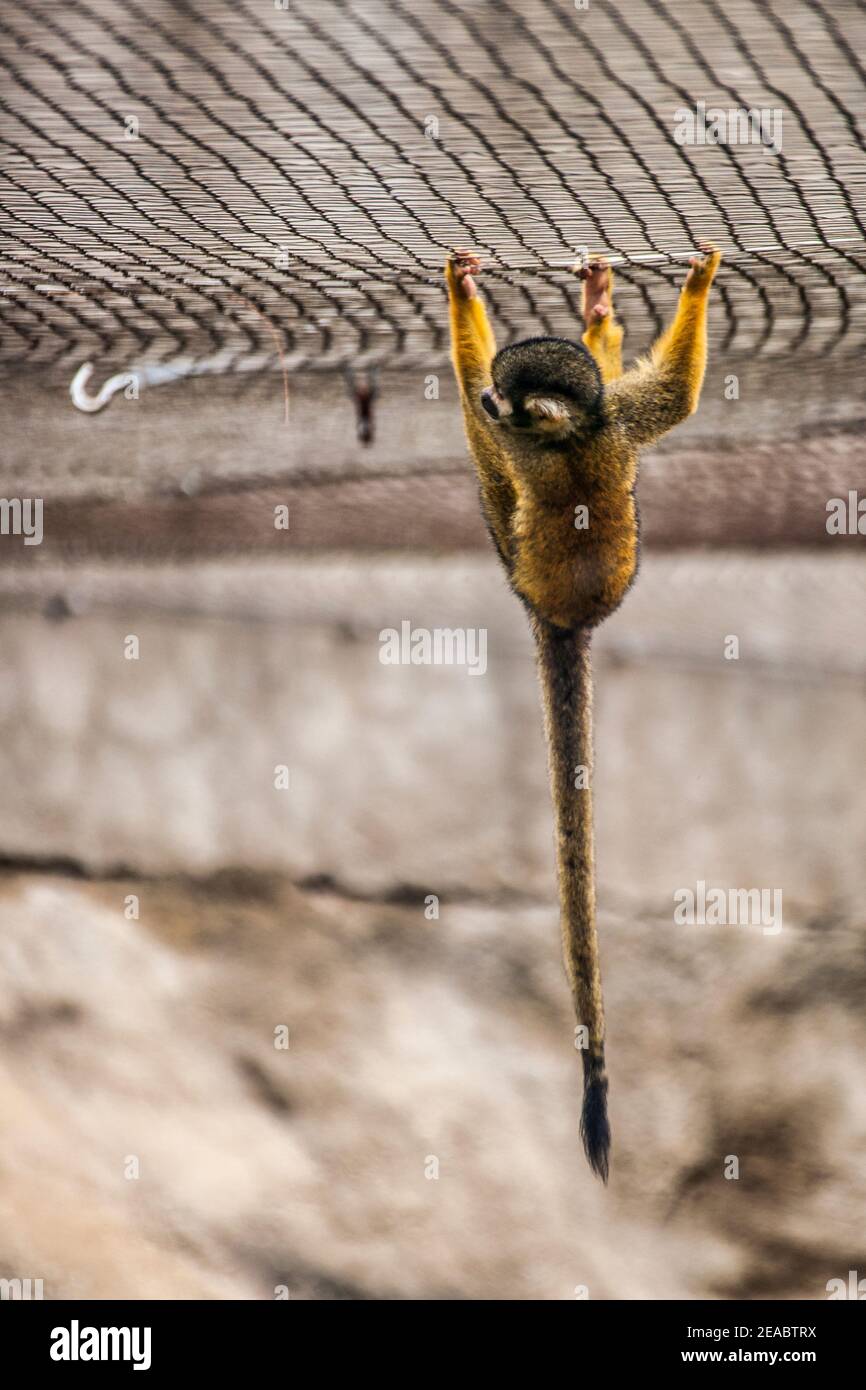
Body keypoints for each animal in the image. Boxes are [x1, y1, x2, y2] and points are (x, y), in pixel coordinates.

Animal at [446, 241, 721, 1180]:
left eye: (517, 388)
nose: (502, 399)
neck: (567, 428)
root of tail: (565, 615)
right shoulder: (599, 425)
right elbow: (664, 403)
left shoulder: (584, 427)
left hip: (517, 559)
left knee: (491, 482)